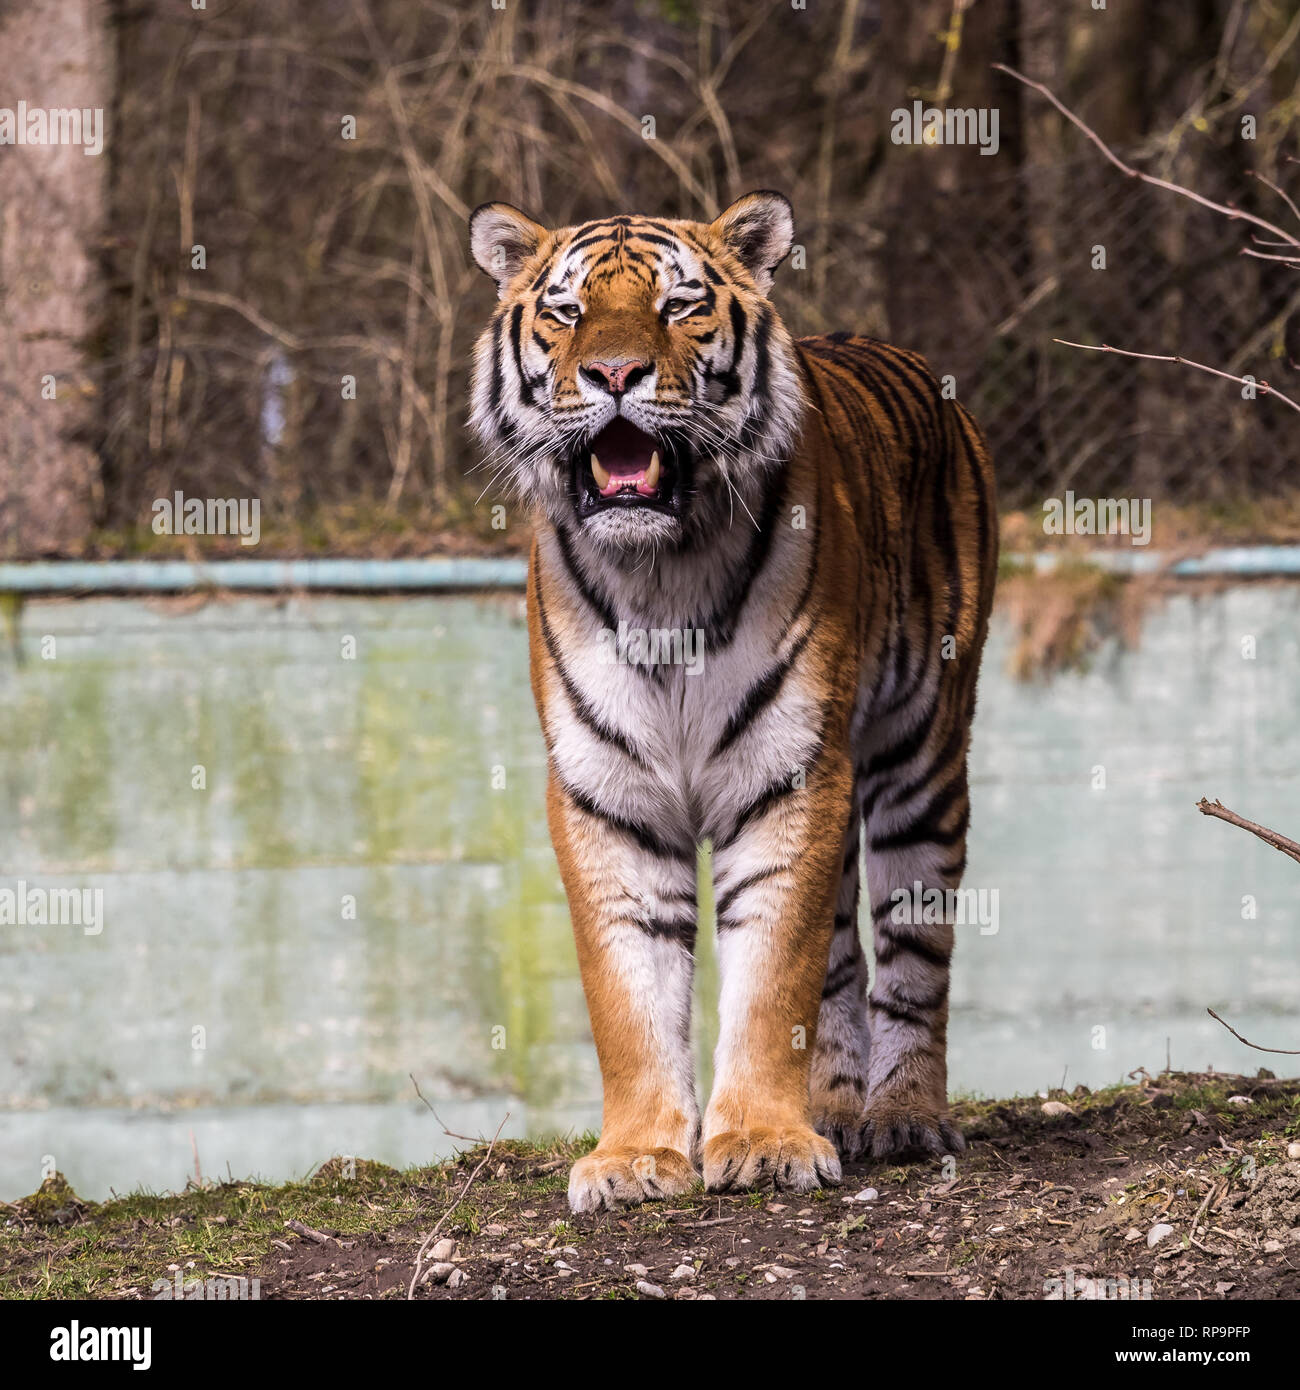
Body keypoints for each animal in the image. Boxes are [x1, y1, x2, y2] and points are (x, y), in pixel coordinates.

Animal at [468, 190, 997, 1213]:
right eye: (565, 311)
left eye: (677, 307)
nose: (614, 372)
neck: (659, 572)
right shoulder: (608, 796)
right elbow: (630, 996)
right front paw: (636, 1157)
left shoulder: (791, 775)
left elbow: (770, 980)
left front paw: (759, 1142)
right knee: (842, 962)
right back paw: (835, 1108)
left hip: (922, 755)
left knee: (913, 953)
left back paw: (902, 1116)